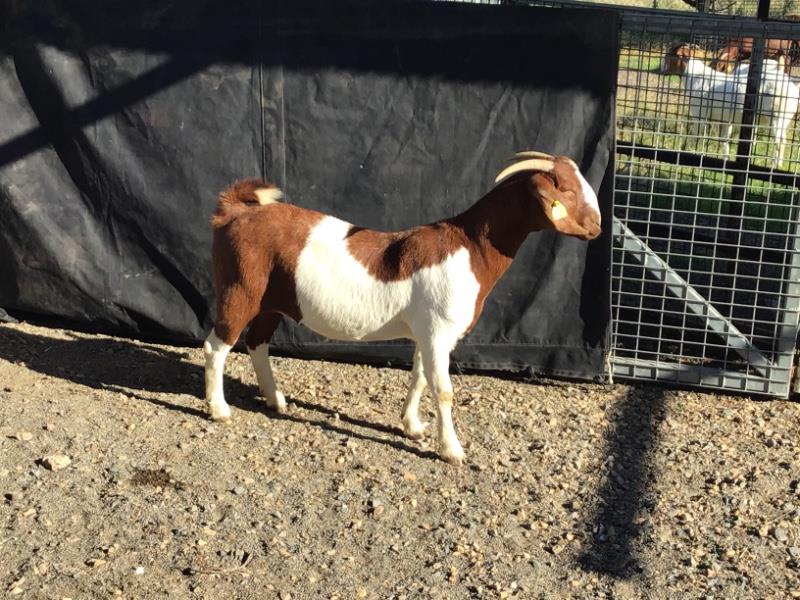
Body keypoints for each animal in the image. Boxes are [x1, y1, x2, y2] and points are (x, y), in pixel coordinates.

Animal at [203, 152, 602, 465]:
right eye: (565, 190)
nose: (597, 227)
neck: (470, 248)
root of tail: (234, 212)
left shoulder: (428, 331)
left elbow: (420, 376)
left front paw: (412, 426)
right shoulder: (439, 331)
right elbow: (443, 389)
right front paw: (452, 450)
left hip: (270, 303)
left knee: (257, 343)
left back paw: (276, 400)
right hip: (239, 290)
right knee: (216, 345)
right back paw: (219, 409)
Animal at [663, 43, 800, 166]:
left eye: (669, 56)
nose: (661, 70)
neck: (697, 76)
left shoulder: (700, 115)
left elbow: (696, 134)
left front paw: (691, 152)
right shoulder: (725, 120)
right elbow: (724, 139)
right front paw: (726, 159)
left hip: (777, 117)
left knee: (781, 141)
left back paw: (776, 164)